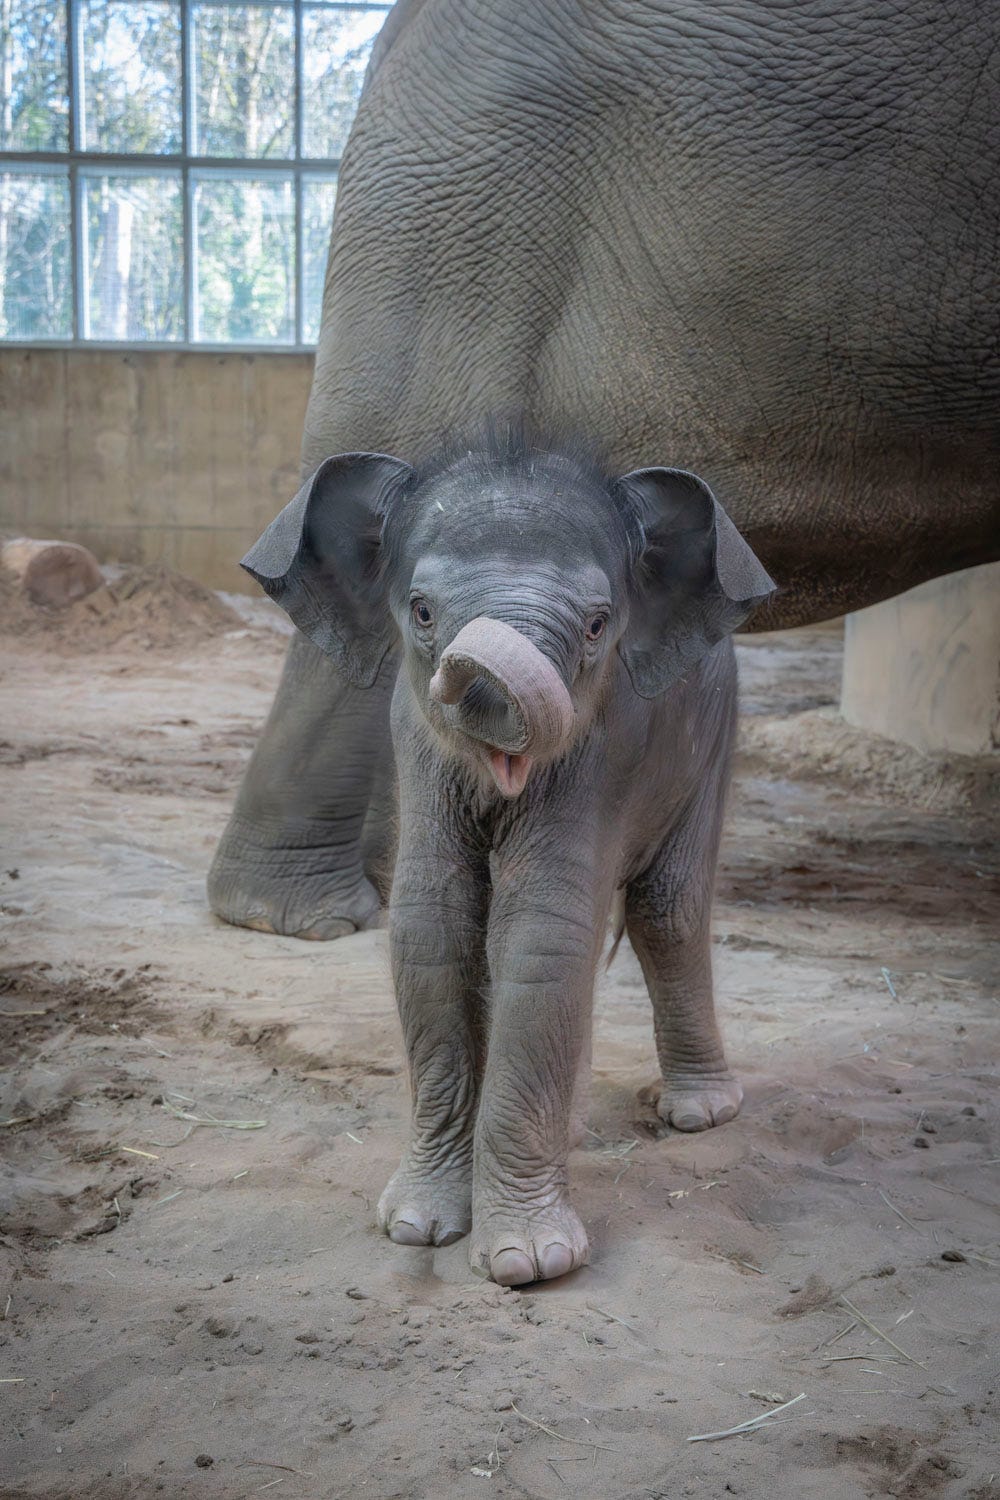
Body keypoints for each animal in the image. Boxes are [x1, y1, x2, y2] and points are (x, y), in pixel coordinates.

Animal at [241, 426, 775, 1282]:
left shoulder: (605, 753)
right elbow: (432, 928)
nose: (473, 679)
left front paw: (529, 1262)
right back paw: (580, 1132)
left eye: (597, 626)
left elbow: (542, 934)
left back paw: (696, 1113)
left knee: (667, 911)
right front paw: (418, 1228)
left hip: (714, 741)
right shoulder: (414, 739)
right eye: (422, 611)